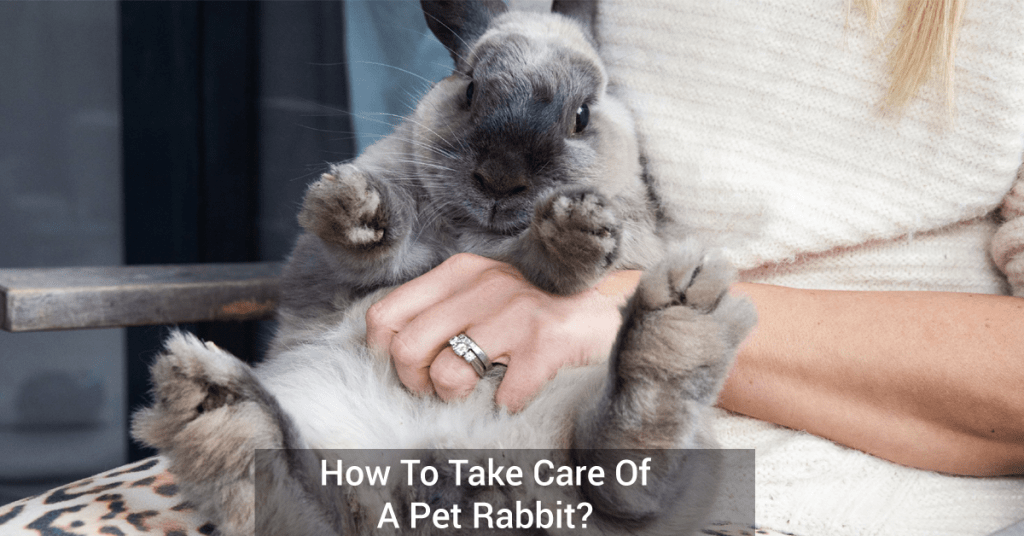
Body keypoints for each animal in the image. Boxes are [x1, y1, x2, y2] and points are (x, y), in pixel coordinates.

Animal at [131, 1, 756, 535]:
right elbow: (382, 247)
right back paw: (216, 406)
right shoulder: (354, 266)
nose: (501, 177)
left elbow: (547, 265)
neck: (481, 232)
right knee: (323, 509)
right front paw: (352, 206)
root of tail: (445, 478)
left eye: (581, 116)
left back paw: (673, 327)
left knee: (625, 485)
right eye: (471, 88)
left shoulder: (619, 244)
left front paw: (574, 230)